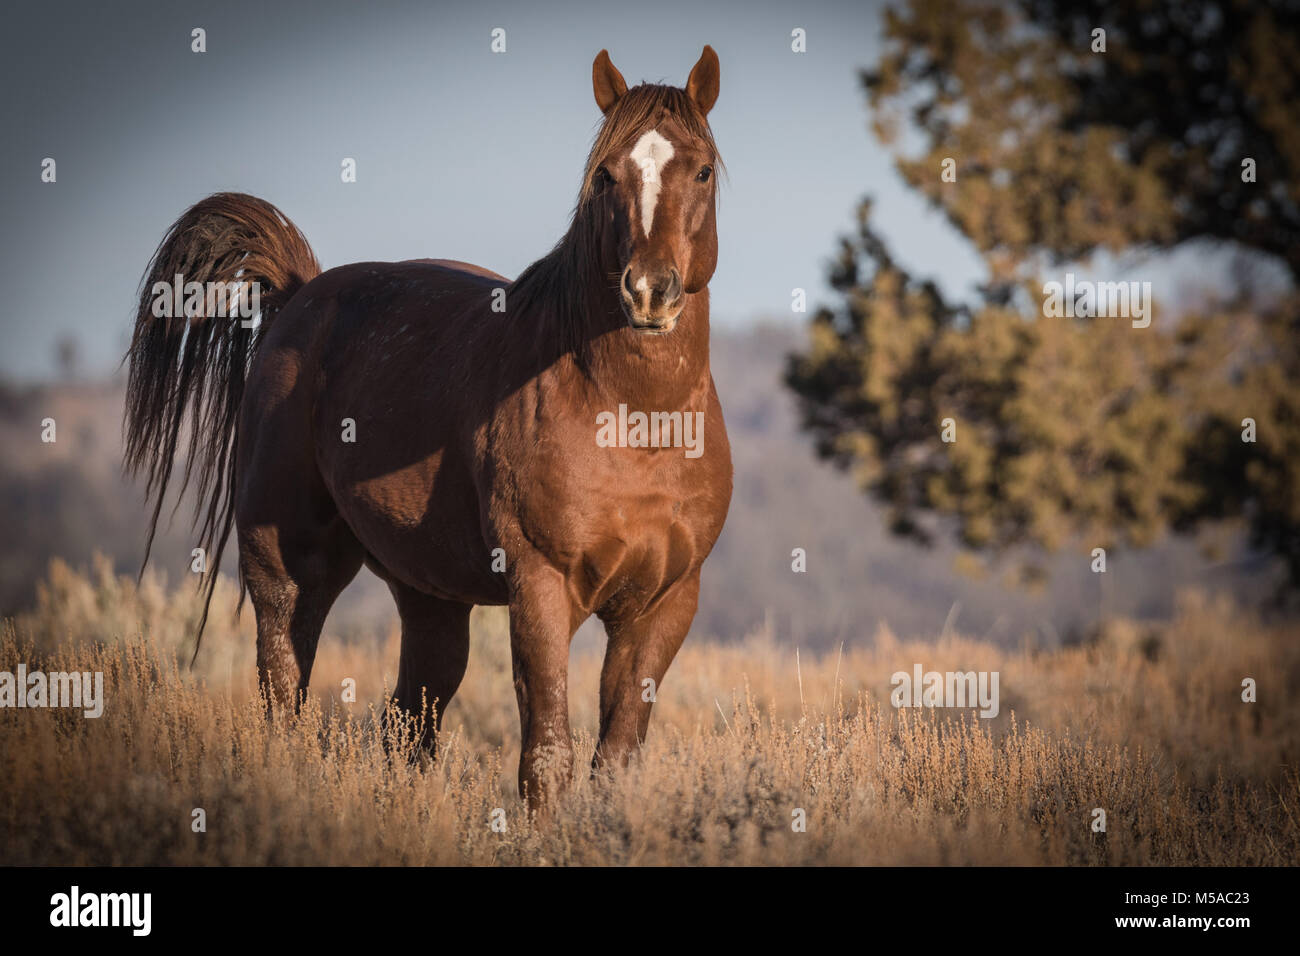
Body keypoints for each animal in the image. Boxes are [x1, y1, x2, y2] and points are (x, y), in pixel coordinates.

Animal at [124, 46, 732, 804]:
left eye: (702, 170)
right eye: (606, 174)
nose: (650, 291)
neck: (633, 421)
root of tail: (300, 294)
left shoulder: (664, 605)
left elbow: (614, 759)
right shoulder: (540, 586)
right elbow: (547, 753)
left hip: (431, 598)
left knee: (406, 726)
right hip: (289, 565)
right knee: (283, 691)